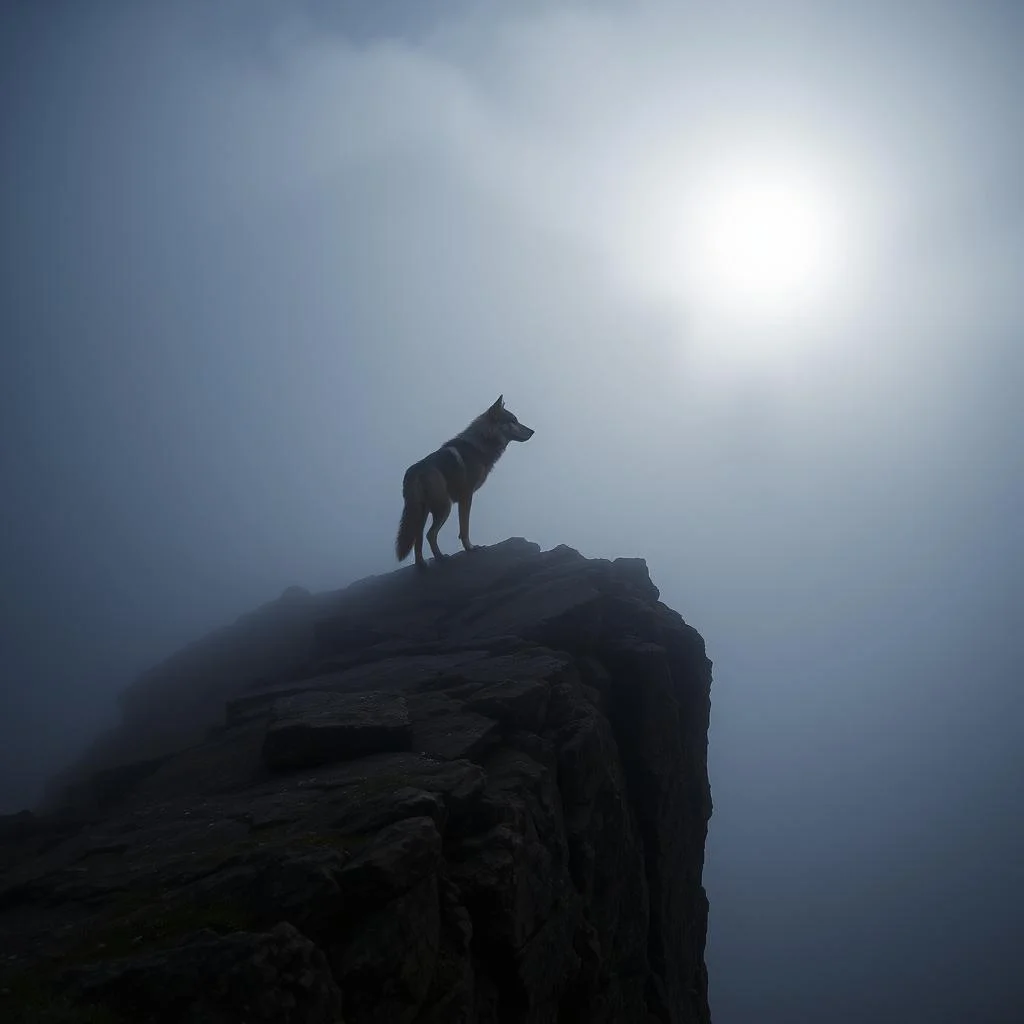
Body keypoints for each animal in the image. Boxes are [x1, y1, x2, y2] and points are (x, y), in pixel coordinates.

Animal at [395, 395, 535, 568]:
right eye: (513, 421)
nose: (533, 431)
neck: (480, 444)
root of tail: (415, 471)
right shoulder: (466, 496)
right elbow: (464, 528)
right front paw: (470, 548)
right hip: (444, 508)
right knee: (430, 534)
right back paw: (440, 558)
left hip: (423, 513)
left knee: (418, 539)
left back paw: (423, 565)